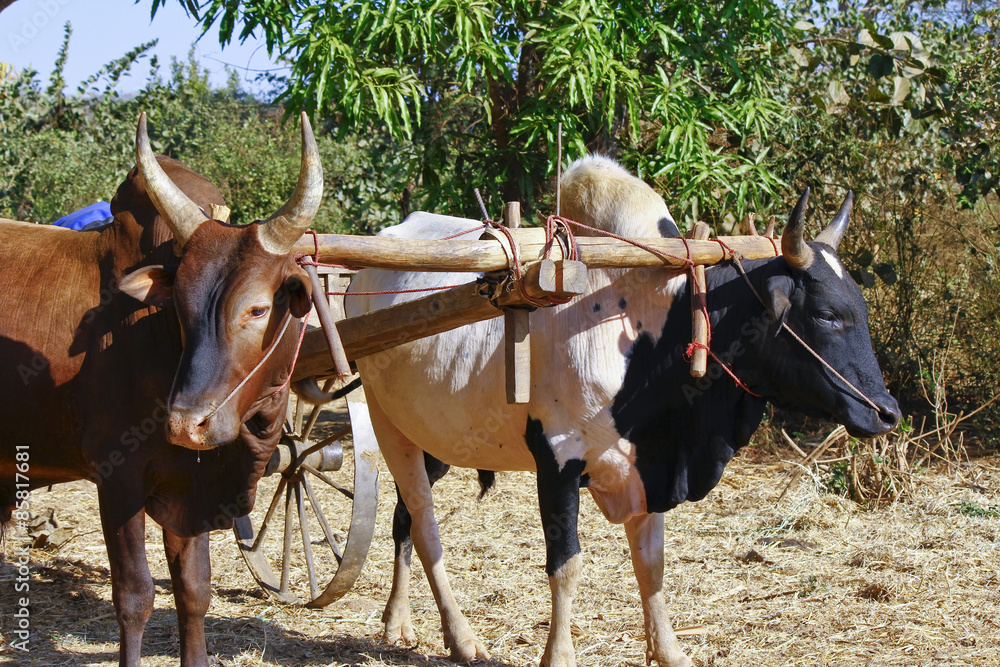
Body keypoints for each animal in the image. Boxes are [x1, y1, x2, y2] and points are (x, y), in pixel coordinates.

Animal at [0, 113, 323, 667]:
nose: (186, 423)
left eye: (259, 308)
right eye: (179, 305)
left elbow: (194, 590)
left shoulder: (189, 489)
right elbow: (135, 594)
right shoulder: (117, 478)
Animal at [346, 155, 901, 667]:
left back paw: (397, 622)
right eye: (827, 314)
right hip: (385, 423)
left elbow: (651, 564)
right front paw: (559, 655)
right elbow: (566, 565)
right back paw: (460, 637)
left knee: (403, 518)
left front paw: (670, 652)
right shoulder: (558, 461)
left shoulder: (648, 464)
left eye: (861, 309)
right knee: (425, 523)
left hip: (432, 435)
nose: (888, 413)